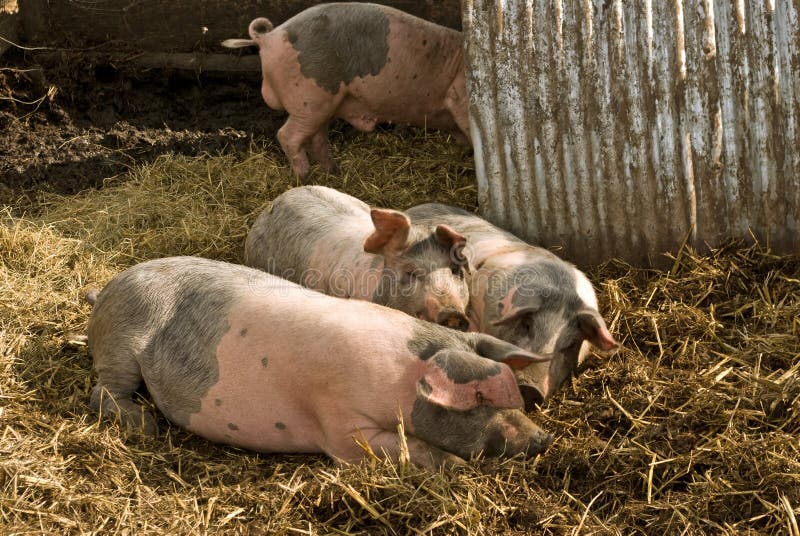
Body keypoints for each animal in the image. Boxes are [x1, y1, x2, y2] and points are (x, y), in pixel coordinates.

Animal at [86, 256, 554, 468]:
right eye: (477, 398)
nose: (543, 439)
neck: (401, 381)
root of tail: (108, 286)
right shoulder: (341, 426)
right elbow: (403, 447)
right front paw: (454, 466)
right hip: (123, 337)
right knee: (102, 390)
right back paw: (144, 425)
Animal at [221, 3, 470, 180]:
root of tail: (268, 37)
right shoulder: (459, 97)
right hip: (310, 99)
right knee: (288, 136)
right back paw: (306, 179)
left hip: (322, 106)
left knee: (317, 139)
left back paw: (335, 174)